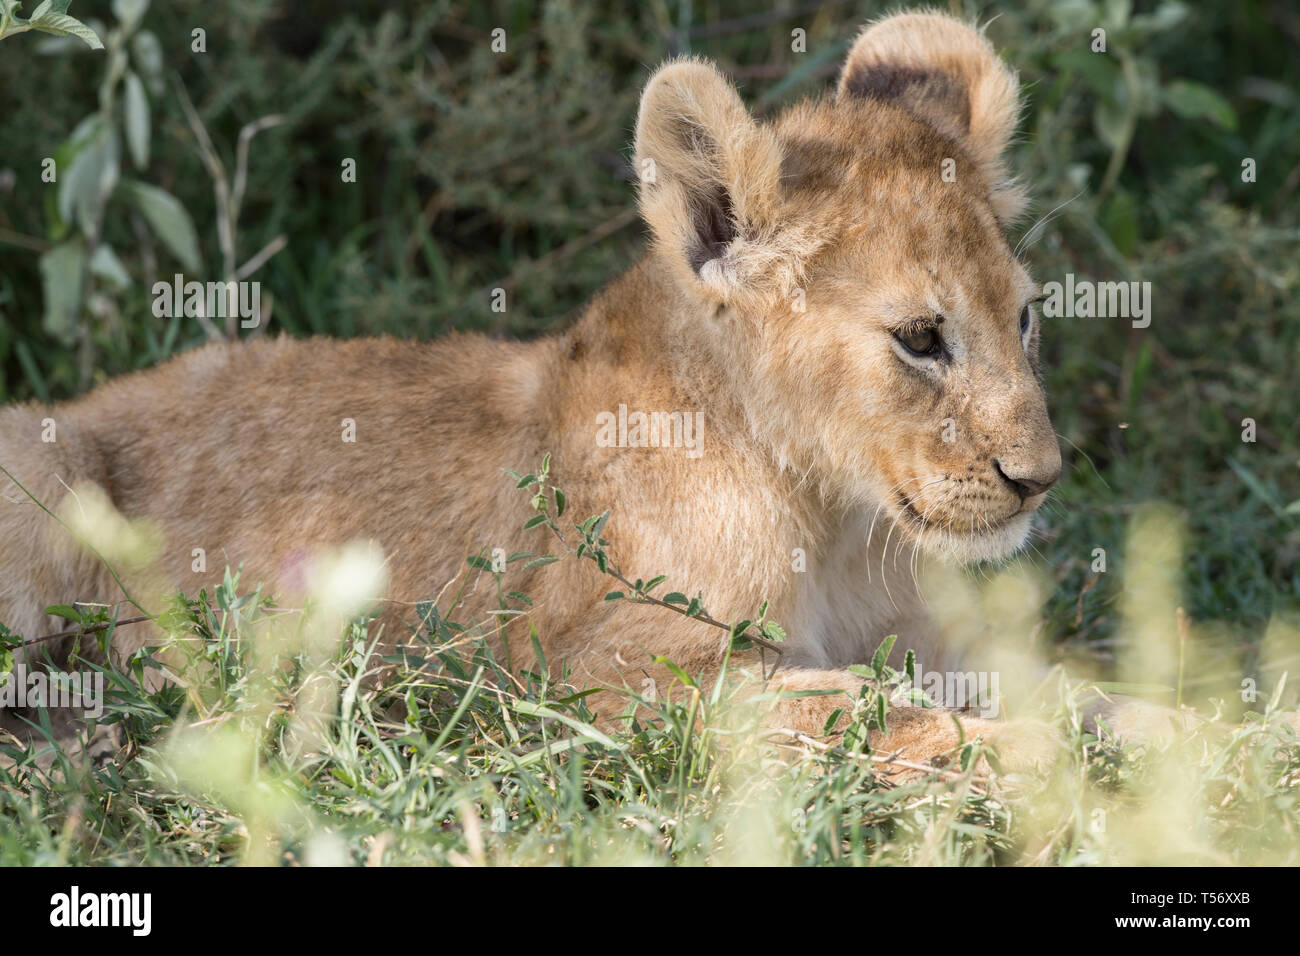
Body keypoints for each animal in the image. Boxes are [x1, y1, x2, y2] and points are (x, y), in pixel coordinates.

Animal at [2, 12, 1121, 768]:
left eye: (1024, 315)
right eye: (921, 338)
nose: (1040, 480)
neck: (838, 518)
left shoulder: (931, 638)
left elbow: (1079, 692)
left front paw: (1149, 738)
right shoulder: (610, 674)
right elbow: (890, 713)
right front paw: (1074, 777)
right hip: (44, 460)